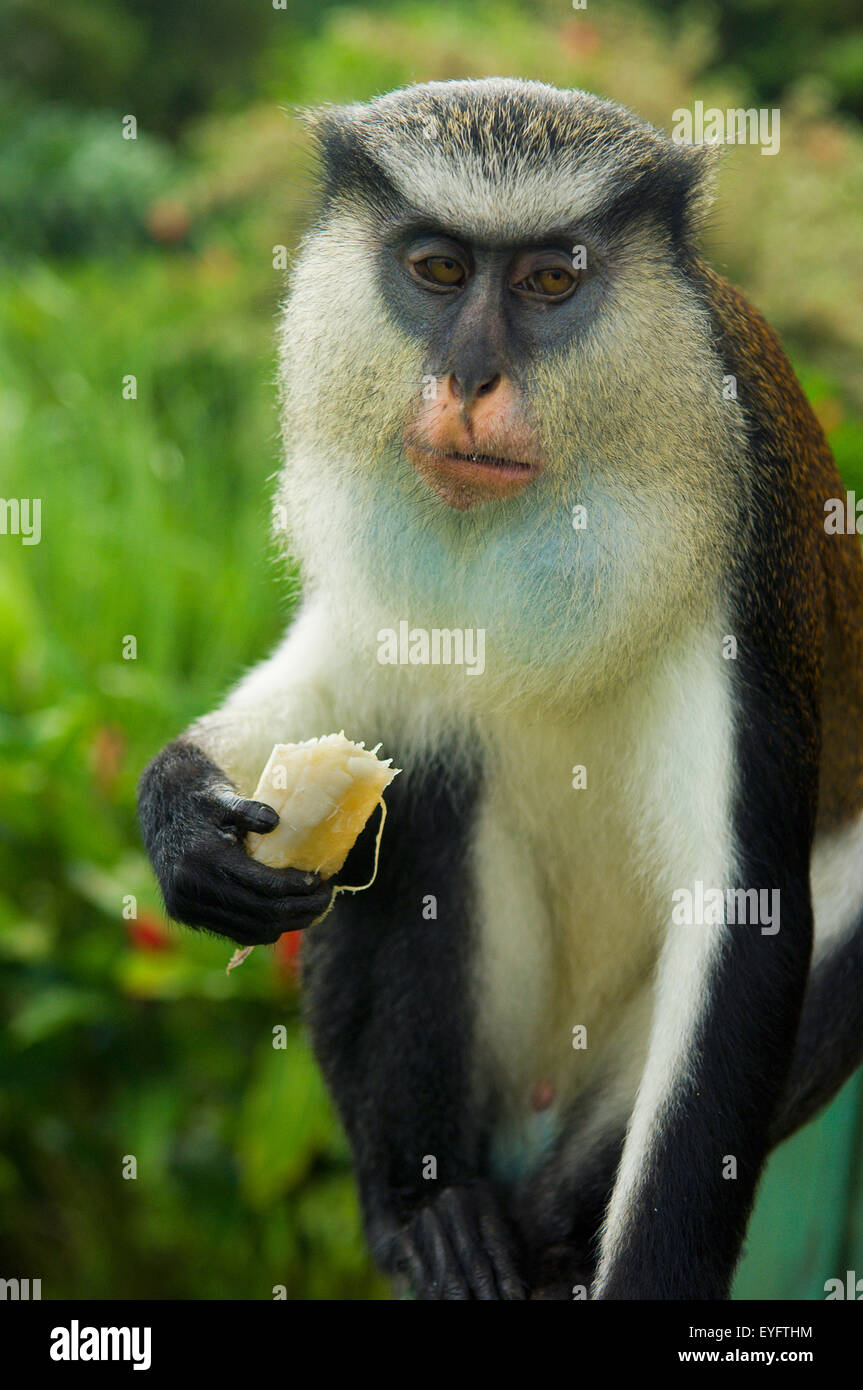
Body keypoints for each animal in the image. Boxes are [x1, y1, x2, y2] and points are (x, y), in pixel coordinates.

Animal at [138, 78, 863, 1300]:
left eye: (549, 281)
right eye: (437, 269)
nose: (471, 377)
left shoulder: (743, 552)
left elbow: (741, 922)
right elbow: (330, 683)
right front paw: (186, 822)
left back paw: (551, 1233)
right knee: (420, 774)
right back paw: (431, 1216)